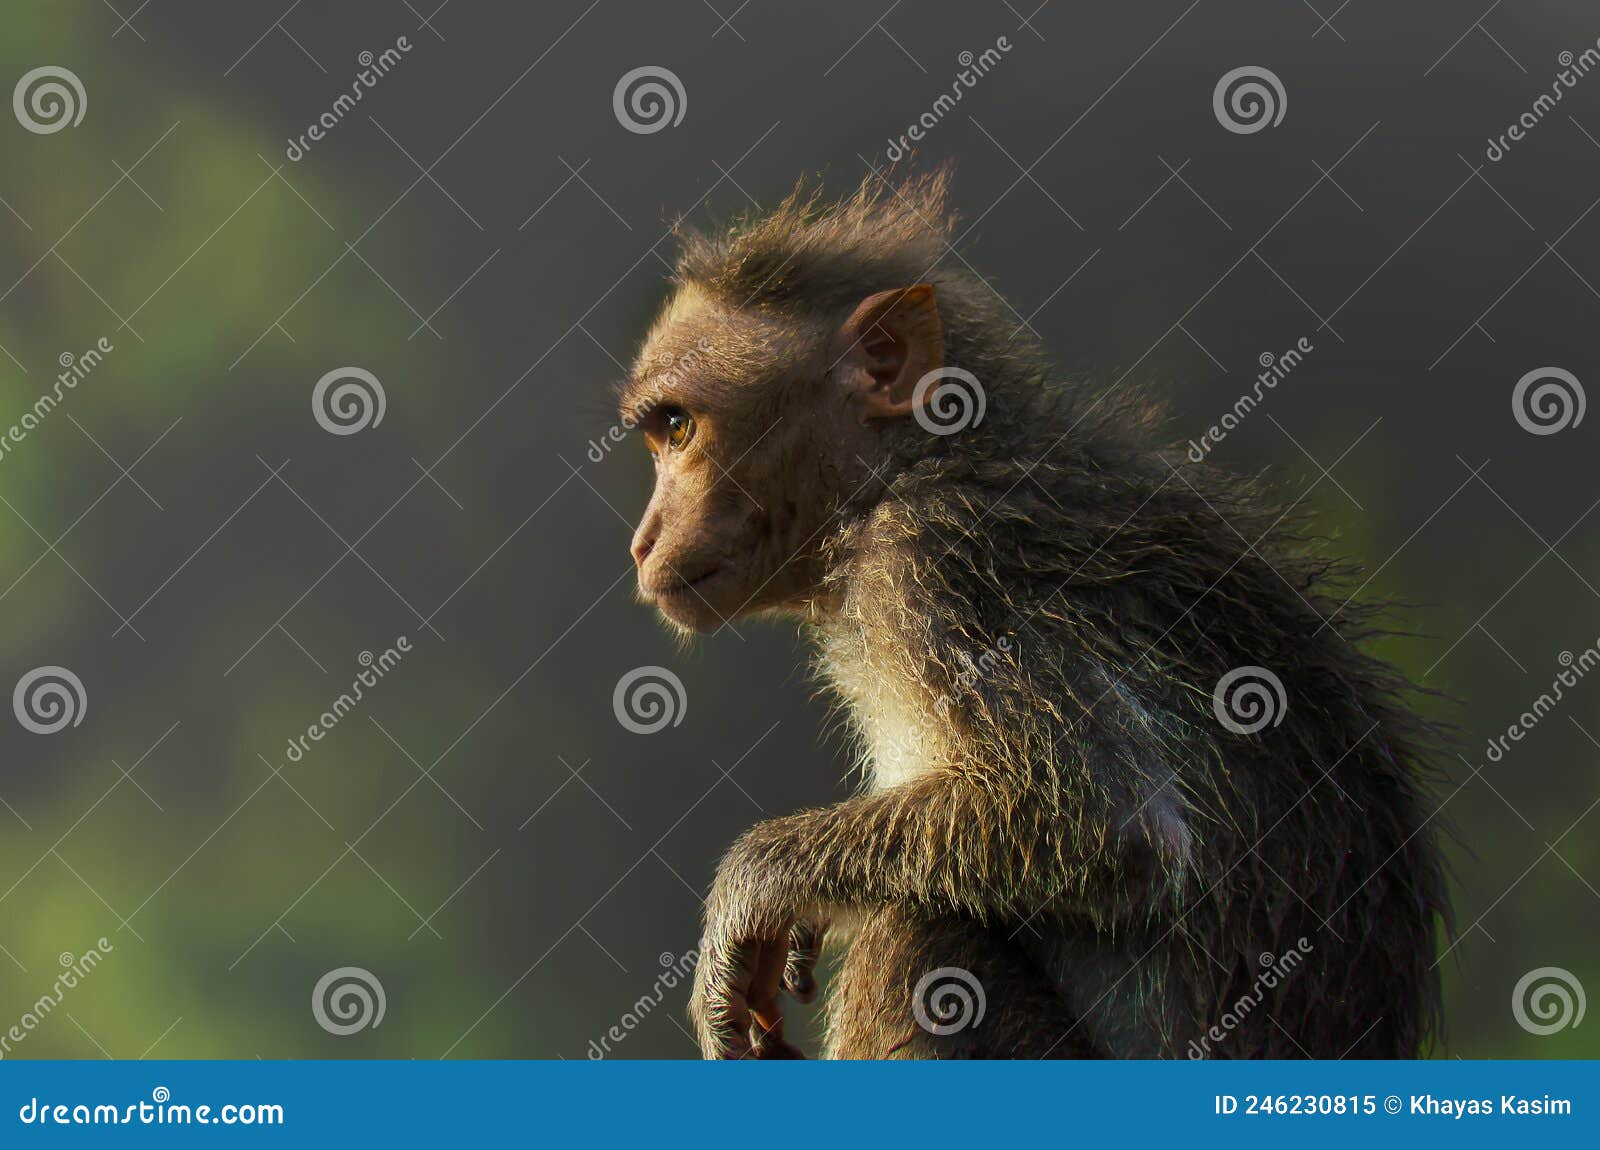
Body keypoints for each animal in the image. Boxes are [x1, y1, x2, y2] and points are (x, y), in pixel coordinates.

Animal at [618, 171, 1451, 1059]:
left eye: (679, 427)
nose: (642, 542)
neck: (905, 475)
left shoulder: (940, 562)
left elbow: (1104, 824)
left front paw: (757, 882)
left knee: (919, 935)